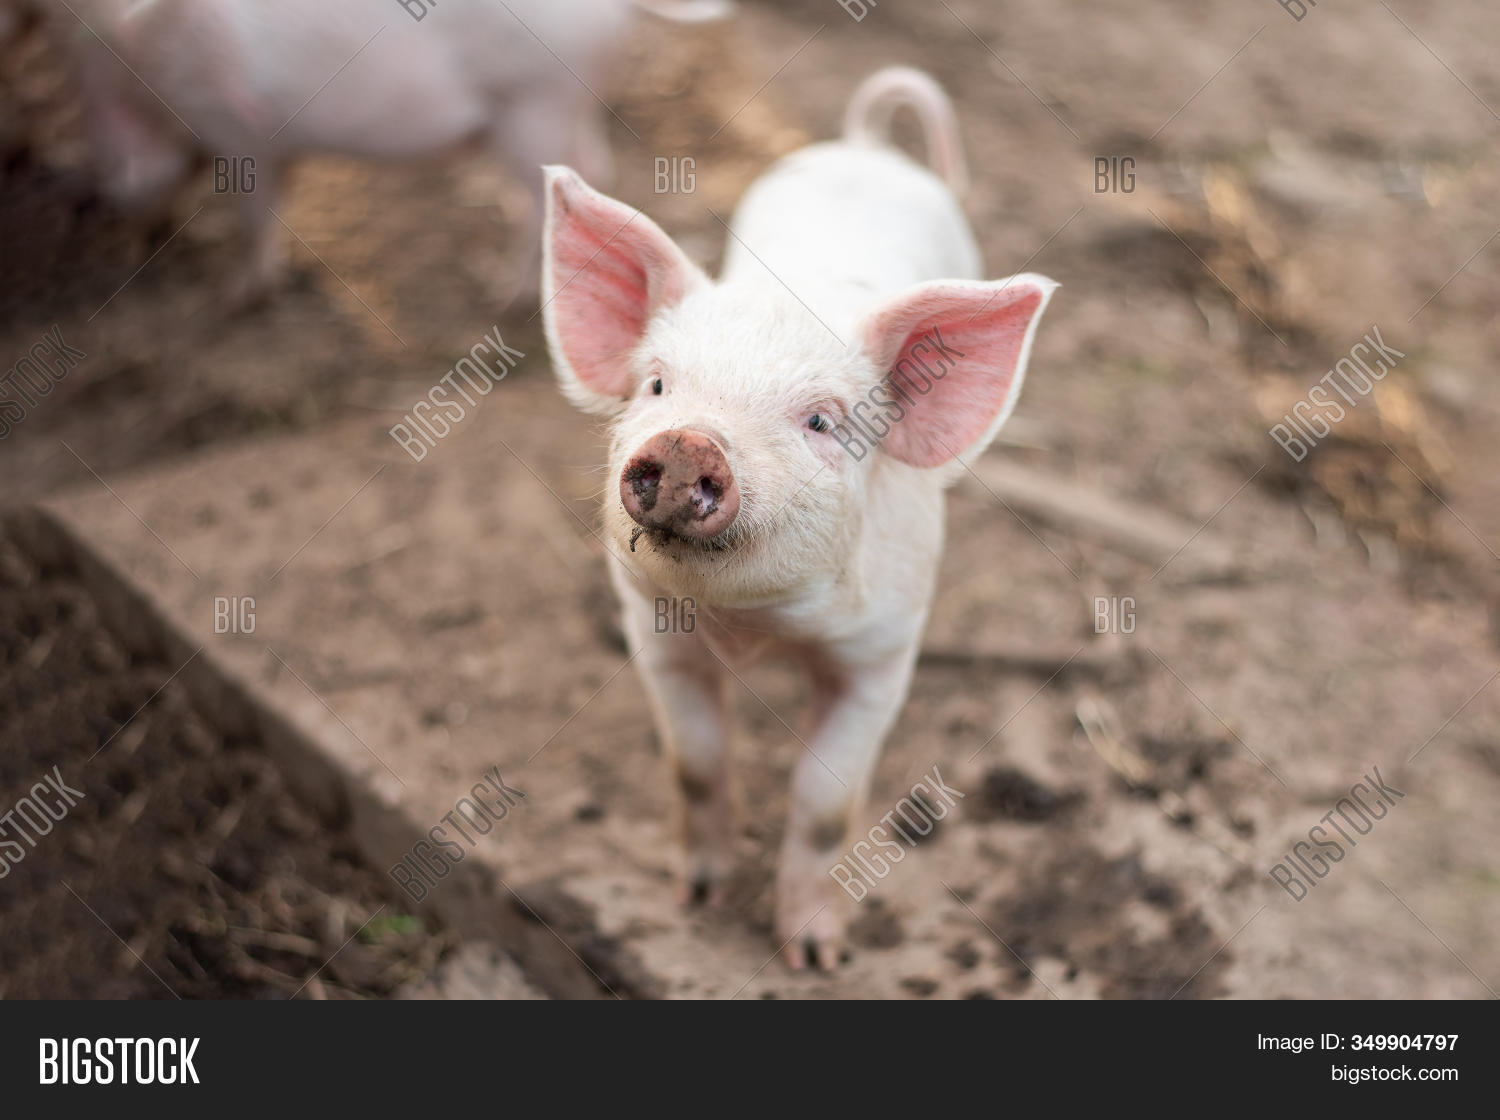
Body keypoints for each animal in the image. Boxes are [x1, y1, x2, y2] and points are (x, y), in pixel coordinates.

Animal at [45, 0, 733, 303]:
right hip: (563, 107)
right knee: (591, 171)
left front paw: (241, 292)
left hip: (533, 104)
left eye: (105, 150)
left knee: (548, 199)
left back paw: (498, 291)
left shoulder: (239, 137)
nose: (88, 206)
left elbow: (254, 216)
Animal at [541, 66, 1057, 969]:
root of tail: (864, 145)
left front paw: (816, 957)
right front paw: (695, 898)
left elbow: (823, 803)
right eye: (656, 385)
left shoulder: (883, 655)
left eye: (821, 421)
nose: (688, 442)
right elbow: (694, 762)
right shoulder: (650, 627)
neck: (758, 632)